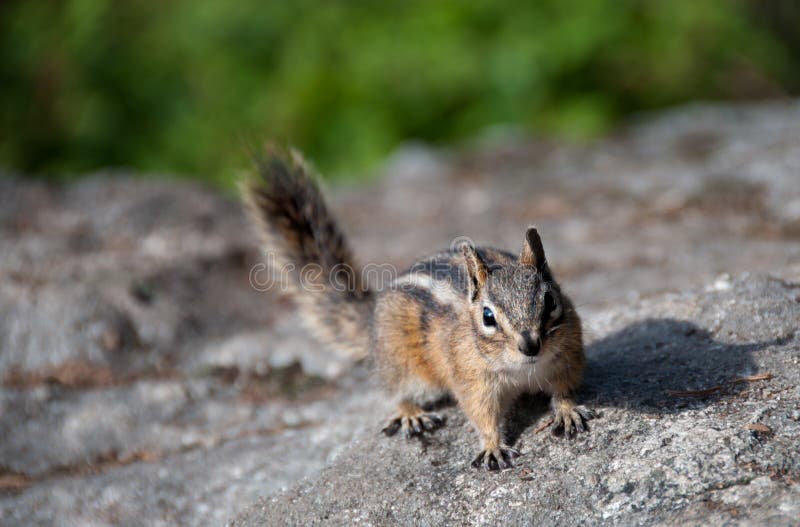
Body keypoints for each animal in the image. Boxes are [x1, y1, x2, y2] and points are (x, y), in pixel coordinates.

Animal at [242, 148, 594, 471]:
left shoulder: (567, 356)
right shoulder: (472, 381)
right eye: (488, 317)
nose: (530, 345)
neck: (522, 371)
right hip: (401, 365)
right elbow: (482, 415)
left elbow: (565, 388)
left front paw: (566, 411)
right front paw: (492, 446)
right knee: (398, 392)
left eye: (550, 301)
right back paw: (412, 415)